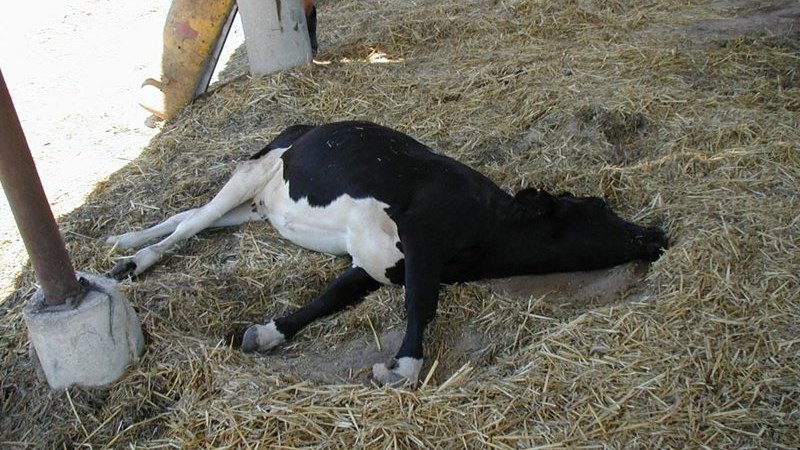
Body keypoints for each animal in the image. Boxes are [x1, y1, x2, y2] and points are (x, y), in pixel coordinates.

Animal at [105, 121, 668, 386]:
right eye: (600, 207)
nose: (657, 231)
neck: (487, 235)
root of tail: (304, 126)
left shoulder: (373, 264)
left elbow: (327, 299)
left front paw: (268, 332)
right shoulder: (421, 238)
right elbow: (422, 302)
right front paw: (404, 366)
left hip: (256, 206)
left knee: (194, 216)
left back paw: (127, 240)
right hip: (253, 169)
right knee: (192, 222)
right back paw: (133, 261)